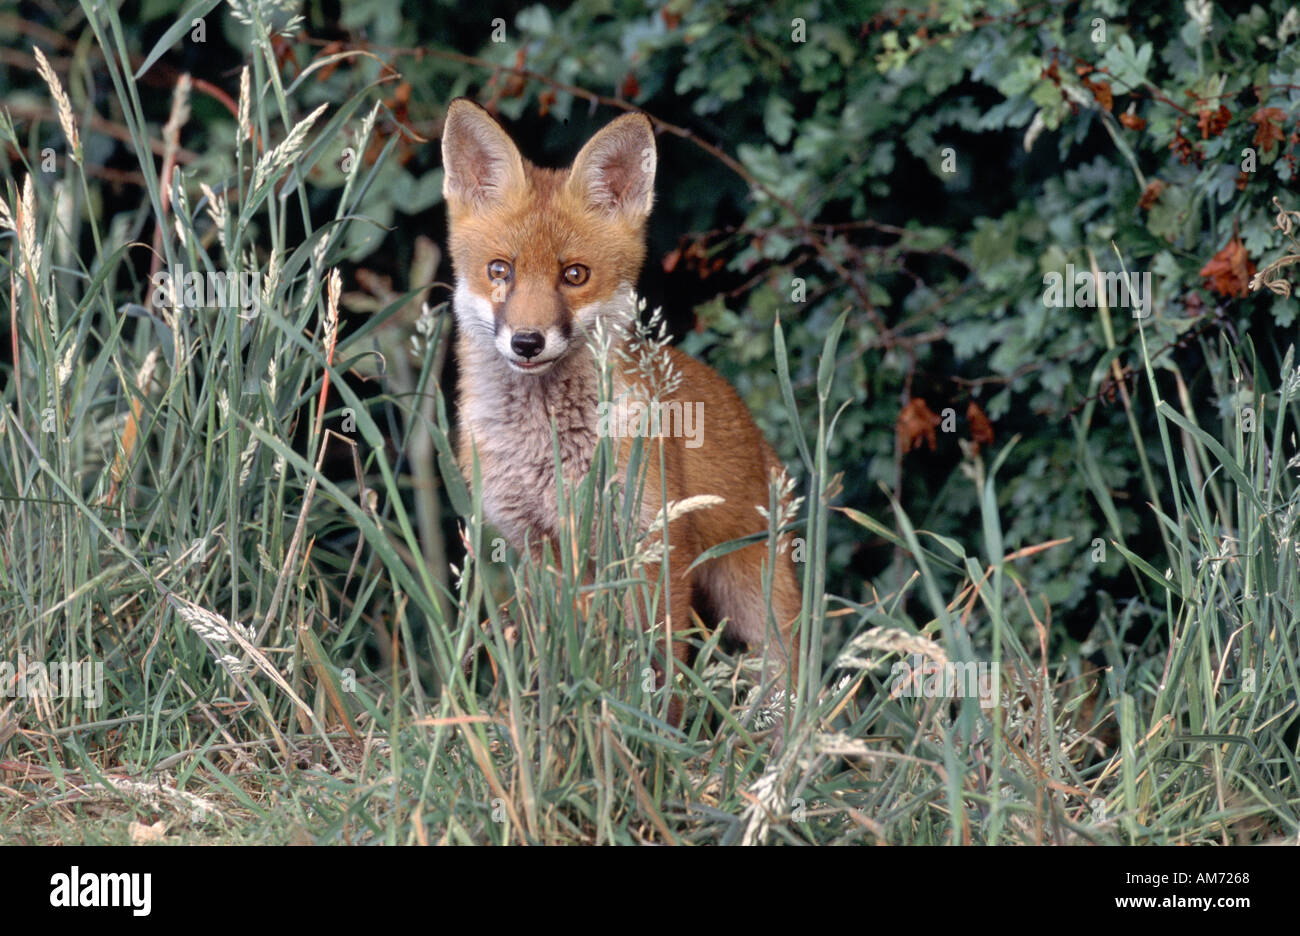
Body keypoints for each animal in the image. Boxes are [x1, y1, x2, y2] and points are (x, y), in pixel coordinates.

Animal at [440, 97, 802, 723]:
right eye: (500, 270)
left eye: (574, 275)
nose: (527, 342)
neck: (547, 451)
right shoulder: (531, 547)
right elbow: (549, 660)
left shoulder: (652, 543)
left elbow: (660, 671)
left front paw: (655, 740)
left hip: (760, 606)